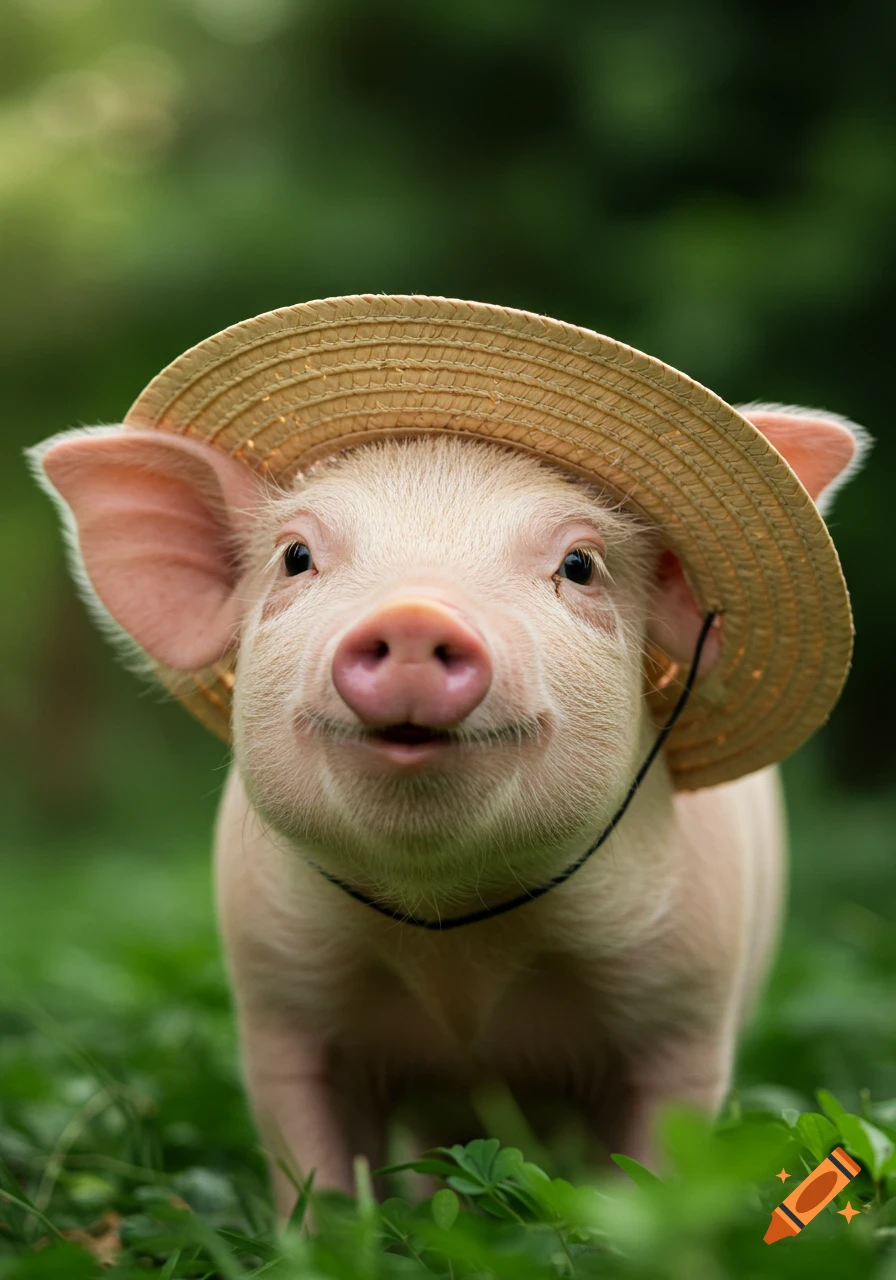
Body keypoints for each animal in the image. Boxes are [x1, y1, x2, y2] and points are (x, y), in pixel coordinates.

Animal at [30, 402, 867, 1215]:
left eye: (579, 565)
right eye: (296, 556)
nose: (413, 615)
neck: (460, 964)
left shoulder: (687, 1004)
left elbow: (652, 1167)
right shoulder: (277, 996)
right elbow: (318, 1173)